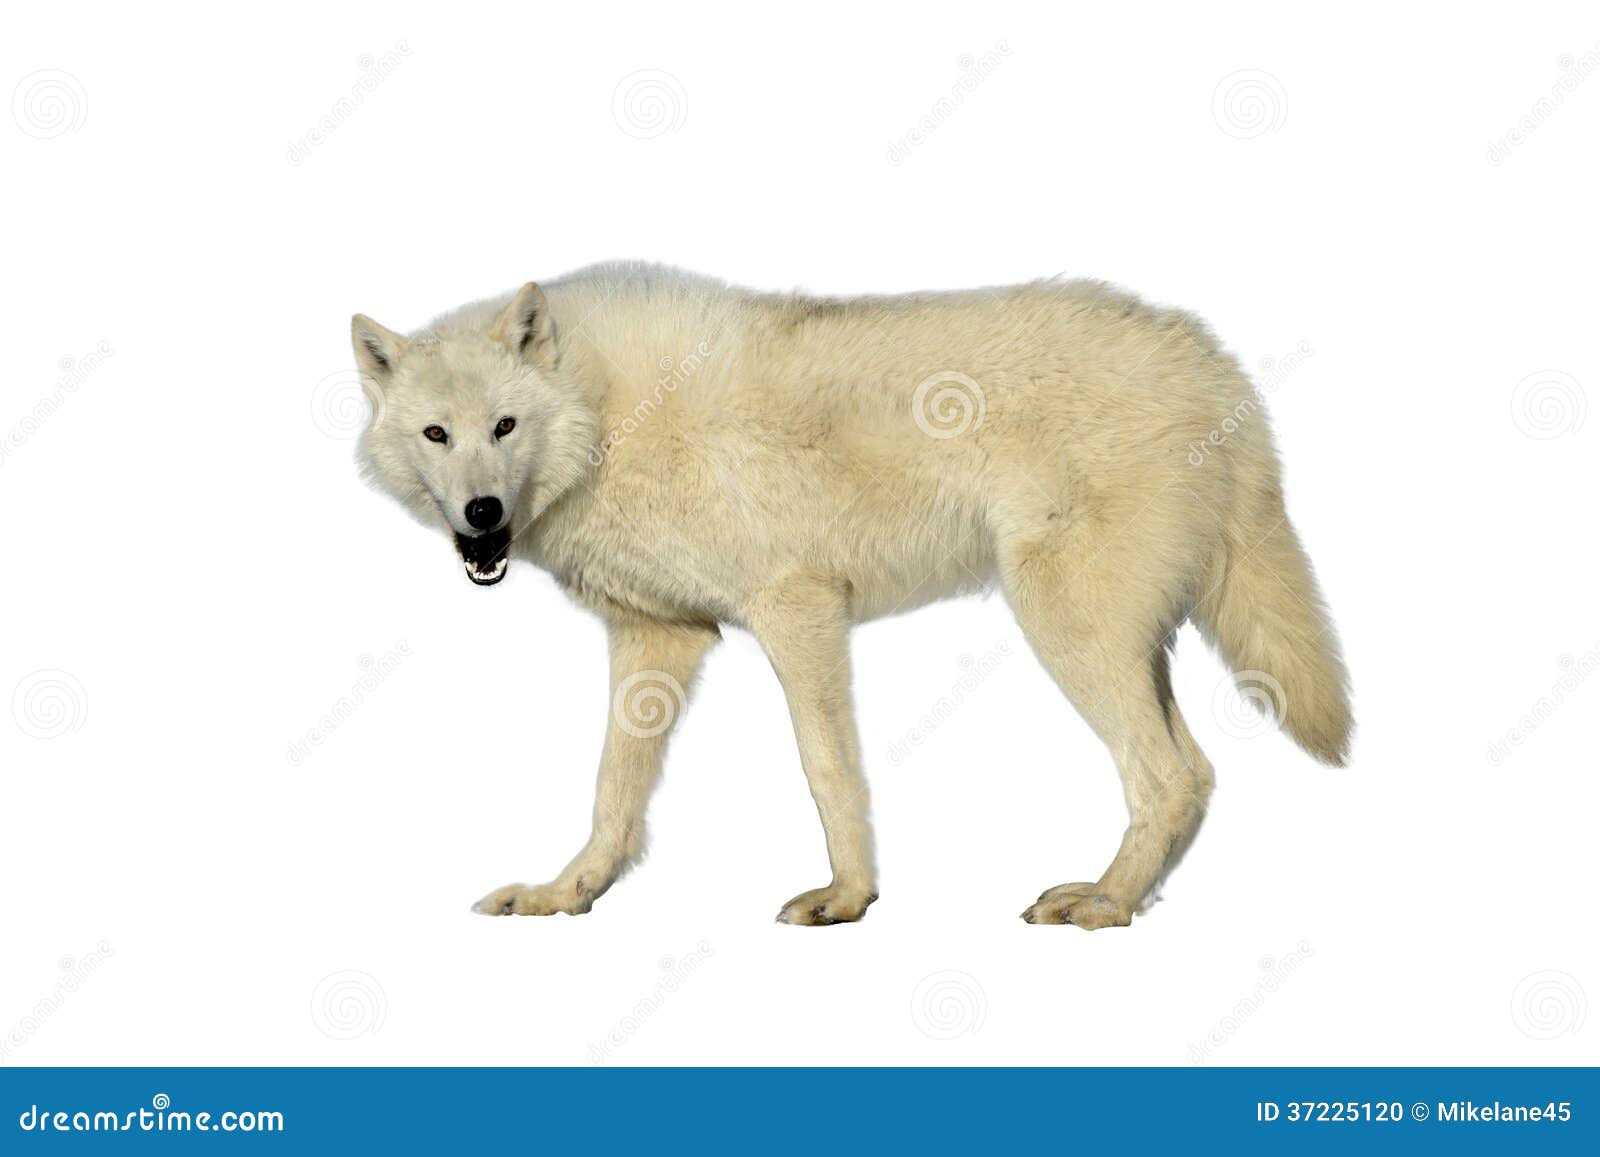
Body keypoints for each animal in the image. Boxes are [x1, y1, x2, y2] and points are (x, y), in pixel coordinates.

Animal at [351, 263, 1351, 928]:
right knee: (1200, 773)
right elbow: (611, 789)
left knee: (1169, 776)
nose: (482, 513)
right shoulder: (659, 635)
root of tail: (1212, 365)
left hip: (1065, 628)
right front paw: (569, 892)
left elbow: (827, 770)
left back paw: (1103, 901)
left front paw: (847, 897)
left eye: (504, 426)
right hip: (1132, 643)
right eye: (438, 434)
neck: (607, 417)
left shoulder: (797, 609)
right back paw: (1124, 892)